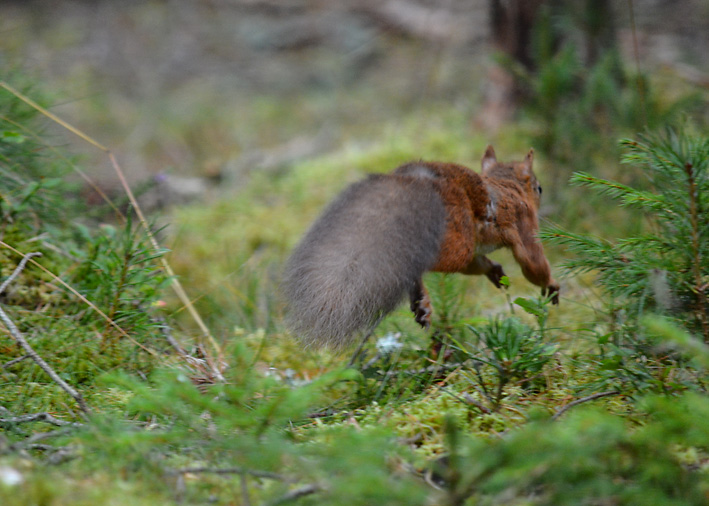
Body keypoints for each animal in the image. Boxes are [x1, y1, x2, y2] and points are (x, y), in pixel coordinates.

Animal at [282, 145, 559, 349]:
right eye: (539, 188)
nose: (542, 192)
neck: (507, 187)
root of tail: (417, 181)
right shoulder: (524, 226)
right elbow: (534, 264)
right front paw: (551, 286)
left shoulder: (478, 251)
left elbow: (480, 264)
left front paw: (496, 272)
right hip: (457, 243)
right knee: (420, 261)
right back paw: (420, 298)